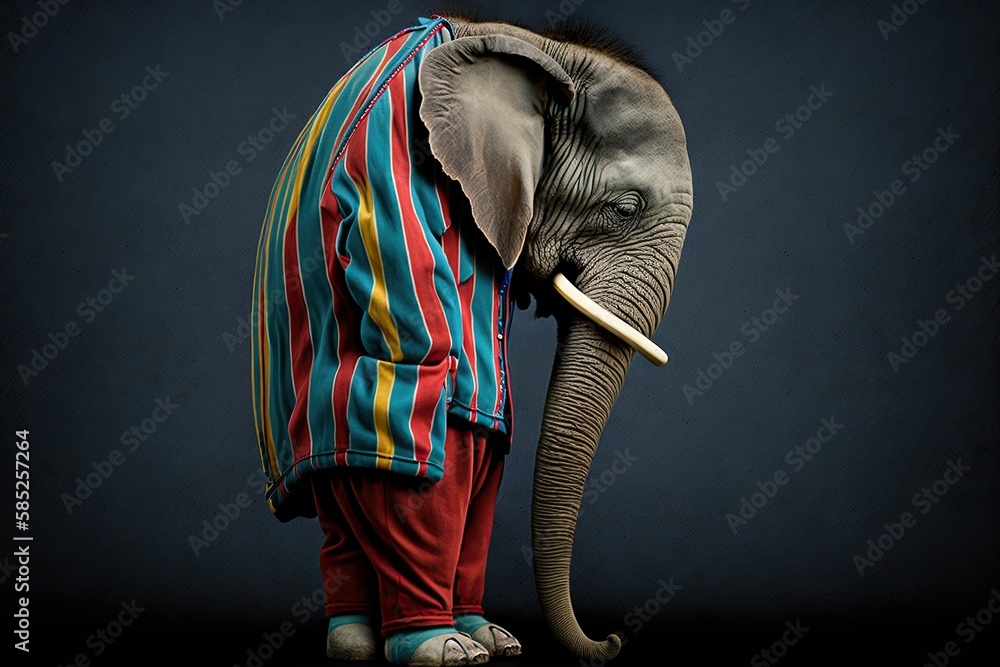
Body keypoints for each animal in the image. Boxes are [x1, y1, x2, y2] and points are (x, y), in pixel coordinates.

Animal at [250, 10, 692, 666]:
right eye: (624, 206)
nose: (609, 641)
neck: (529, 44)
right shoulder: (399, 155)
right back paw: (441, 646)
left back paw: (411, 639)